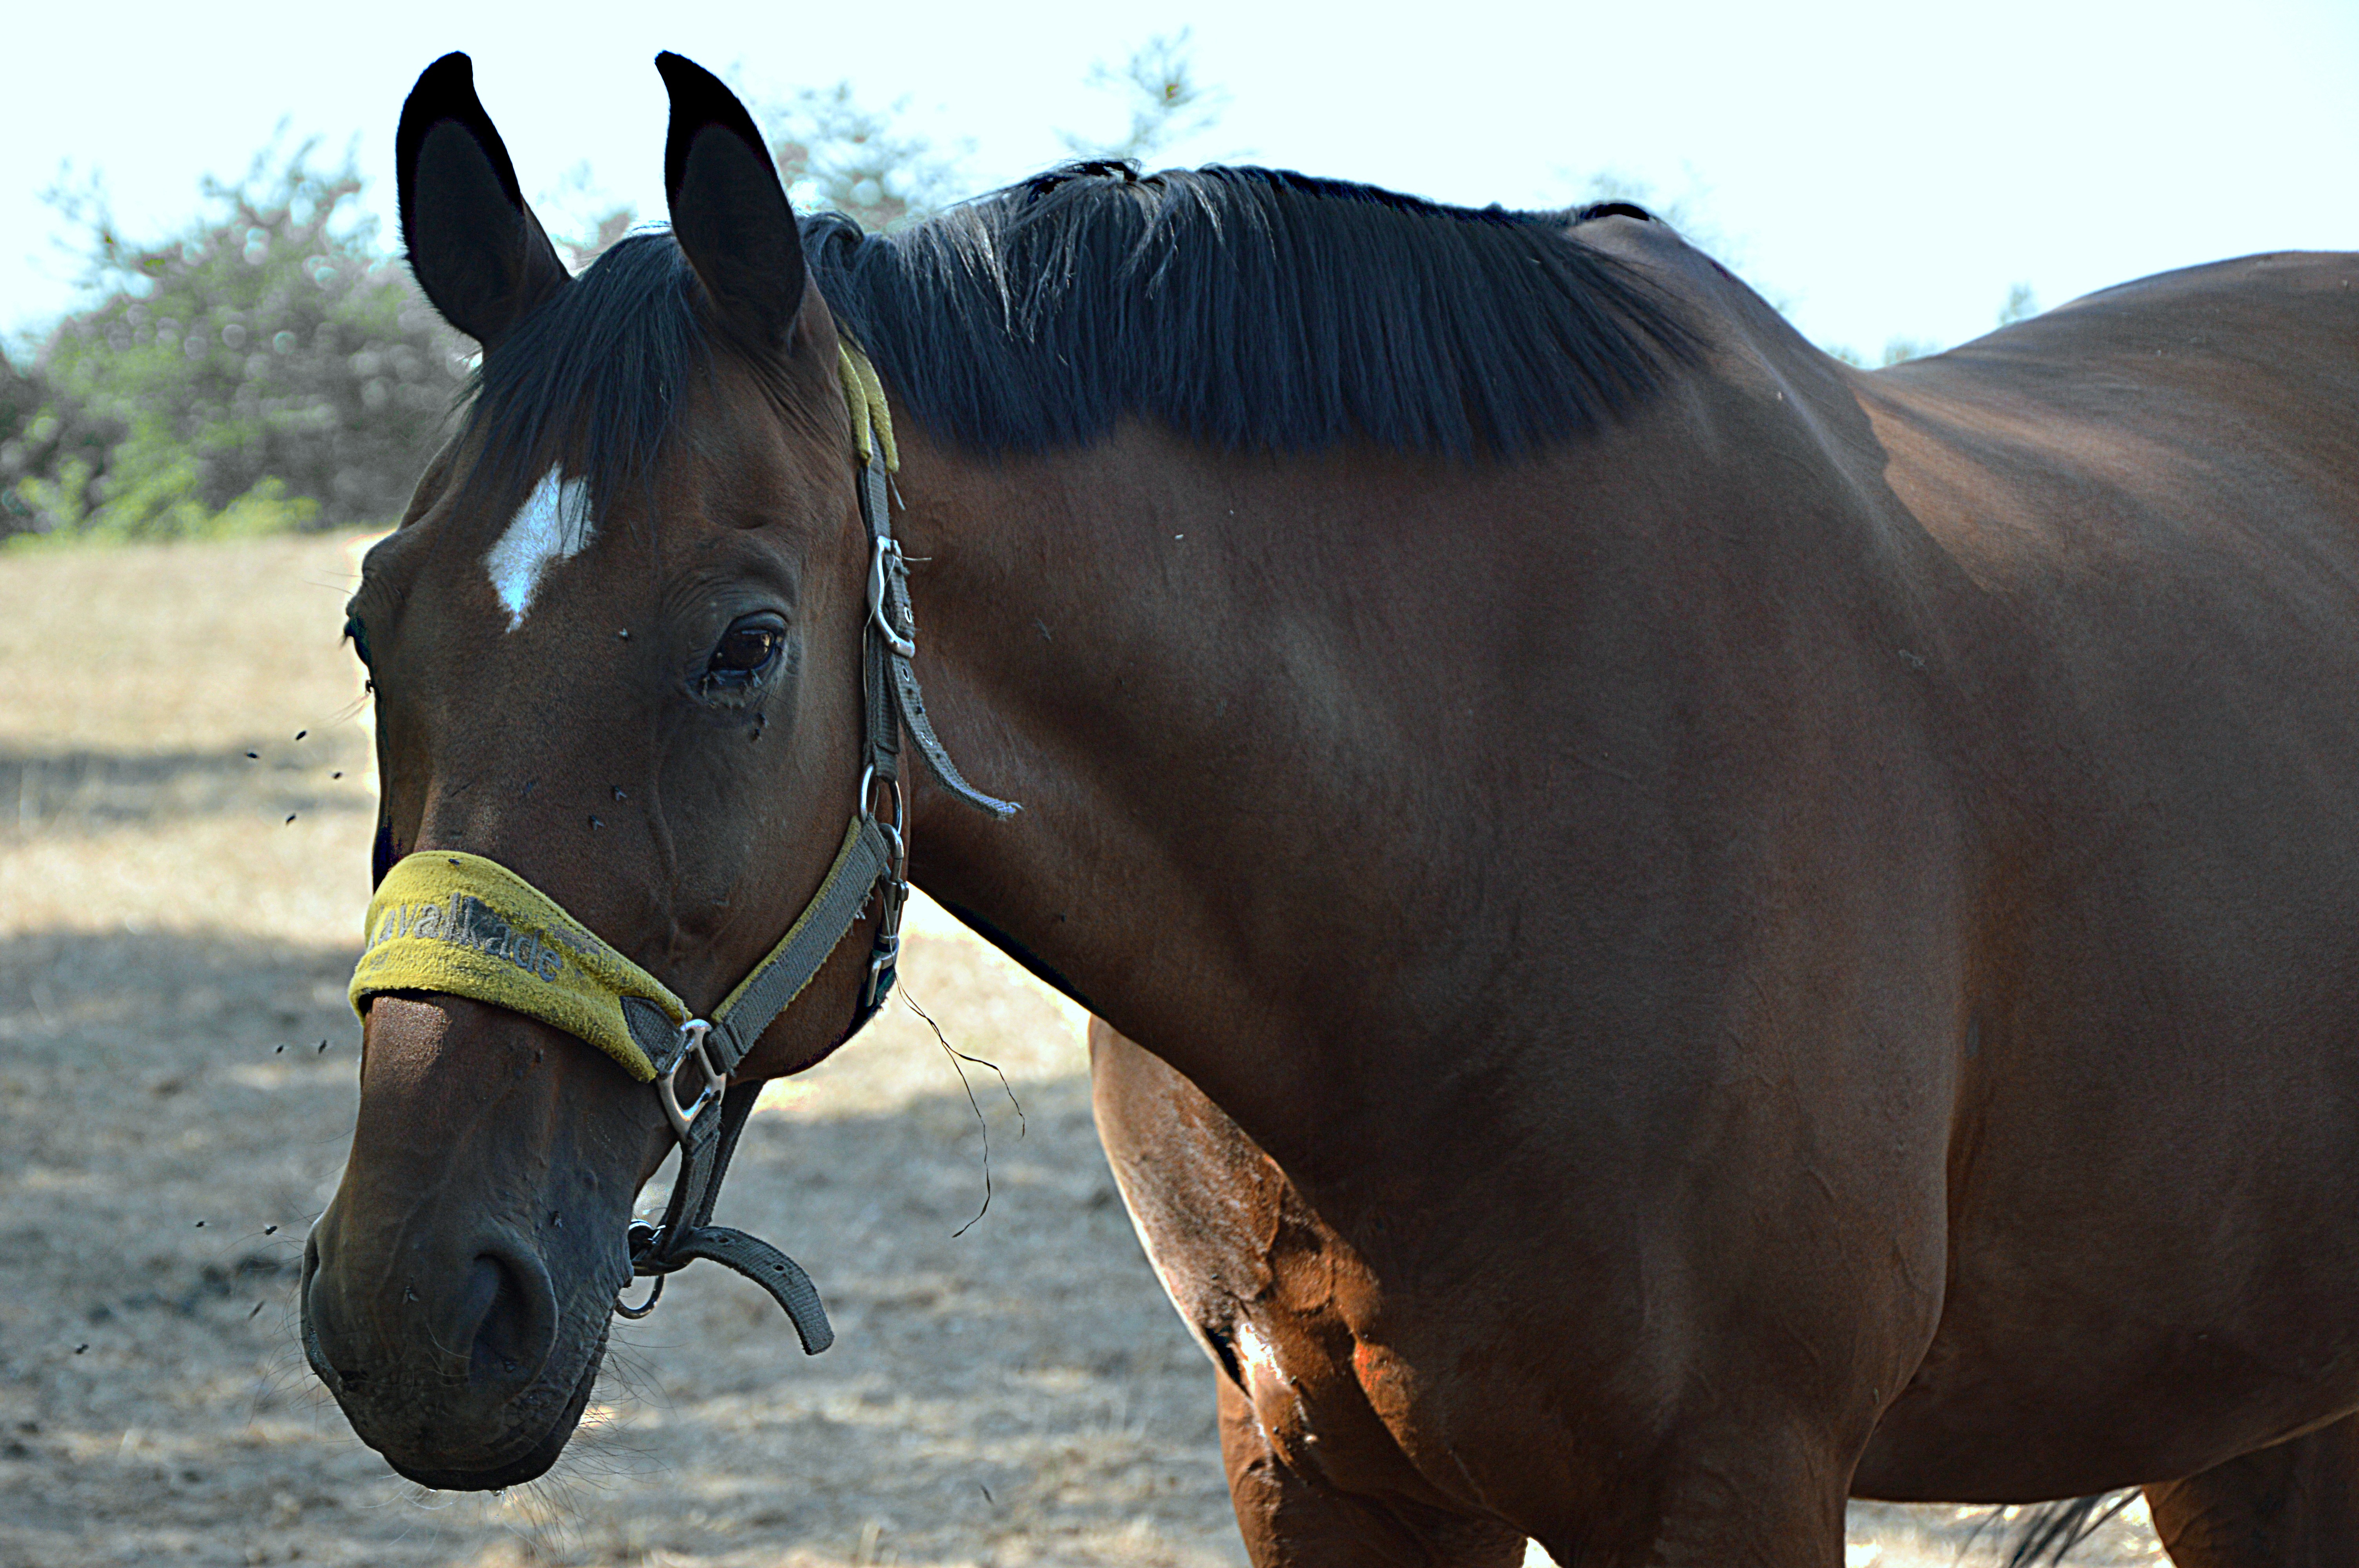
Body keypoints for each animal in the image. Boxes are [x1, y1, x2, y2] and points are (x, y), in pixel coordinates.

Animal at [298, 48, 2359, 1566]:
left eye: (743, 643)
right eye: (371, 617)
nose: (413, 1307)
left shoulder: (1737, 1480)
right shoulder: (1310, 1462)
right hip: (2240, 1412)